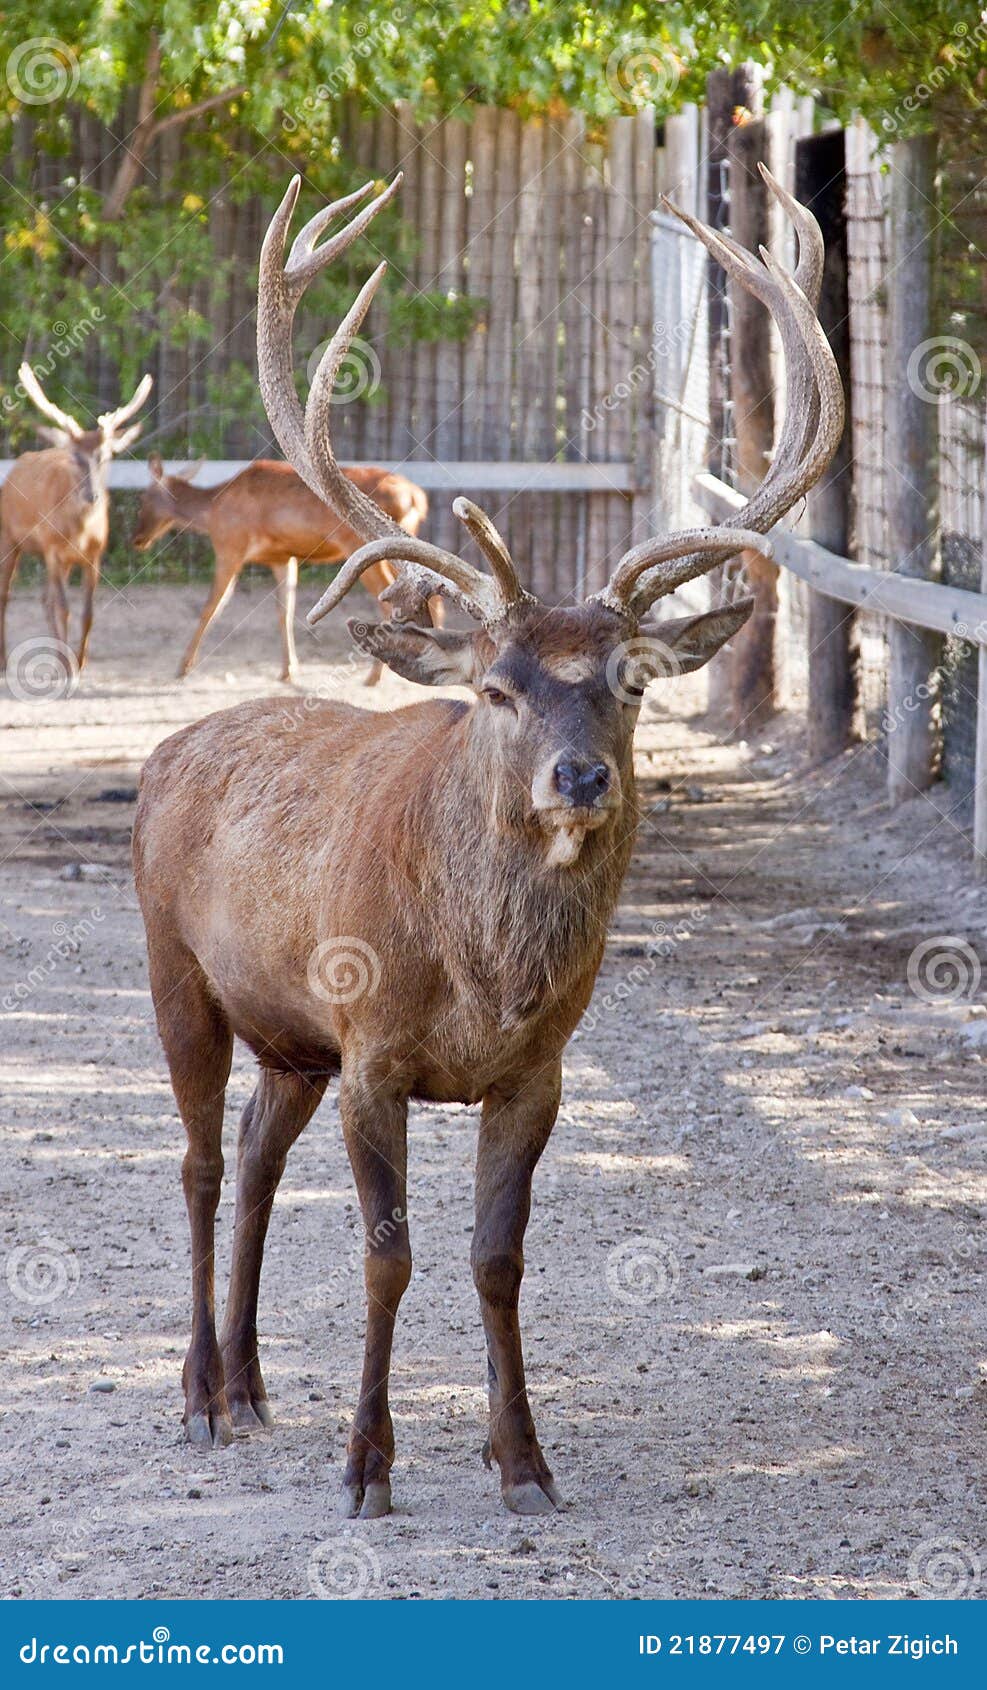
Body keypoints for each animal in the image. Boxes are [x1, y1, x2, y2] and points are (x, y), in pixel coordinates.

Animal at [0, 366, 153, 676]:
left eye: (105, 456)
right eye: (75, 456)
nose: (92, 495)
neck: (80, 532)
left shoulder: (94, 554)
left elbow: (87, 611)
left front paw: (79, 662)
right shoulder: (52, 549)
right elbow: (64, 607)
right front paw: (68, 664)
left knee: (44, 599)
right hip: (9, 537)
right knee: (6, 595)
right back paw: (5, 661)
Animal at [133, 455, 436, 683]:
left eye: (143, 500)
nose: (137, 539)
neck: (212, 512)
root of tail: (416, 497)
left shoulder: (230, 547)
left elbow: (211, 607)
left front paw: (183, 667)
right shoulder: (281, 558)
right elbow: (285, 611)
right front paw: (288, 670)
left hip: (364, 547)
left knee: (390, 603)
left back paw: (375, 677)